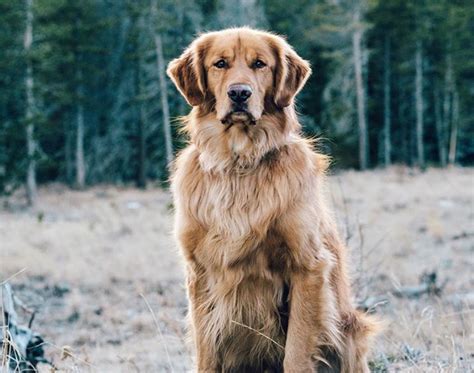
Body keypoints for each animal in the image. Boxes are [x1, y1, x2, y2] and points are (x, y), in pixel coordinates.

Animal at [168, 27, 376, 370]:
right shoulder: (200, 273)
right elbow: (206, 353)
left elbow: (296, 353)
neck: (239, 163)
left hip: (350, 329)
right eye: (220, 63)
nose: (240, 94)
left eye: (259, 64)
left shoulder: (307, 267)